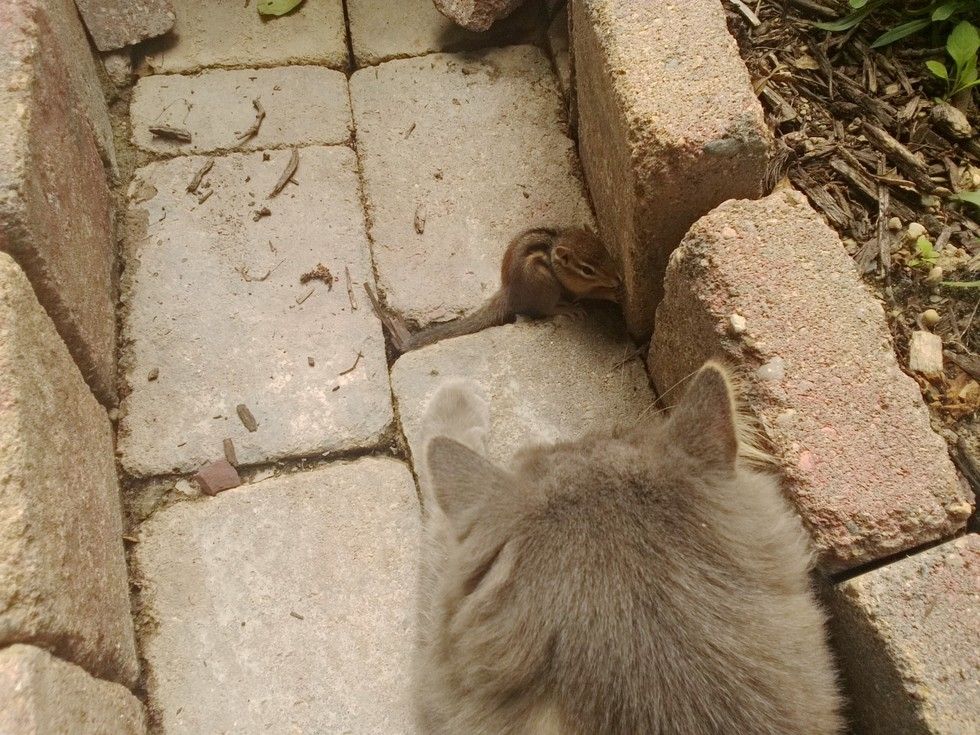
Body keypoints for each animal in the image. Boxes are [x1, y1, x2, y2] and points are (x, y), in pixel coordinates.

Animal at [364, 226, 621, 354]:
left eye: (606, 249)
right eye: (587, 270)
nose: (617, 278)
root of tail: (509, 292)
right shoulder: (570, 286)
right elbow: (588, 293)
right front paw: (611, 292)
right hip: (546, 288)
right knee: (544, 310)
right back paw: (565, 308)